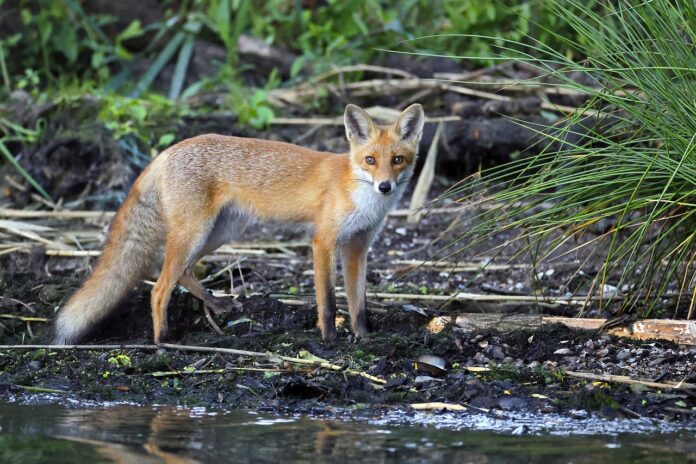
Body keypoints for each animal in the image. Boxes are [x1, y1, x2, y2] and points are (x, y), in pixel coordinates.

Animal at [53, 103, 425, 344]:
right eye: (370, 160)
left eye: (397, 160)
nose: (385, 187)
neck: (361, 195)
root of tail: (168, 150)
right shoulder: (323, 241)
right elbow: (329, 300)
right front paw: (330, 339)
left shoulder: (357, 247)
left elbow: (358, 302)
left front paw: (363, 336)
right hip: (195, 233)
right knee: (159, 287)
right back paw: (163, 341)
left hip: (217, 233)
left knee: (181, 272)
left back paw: (216, 305)